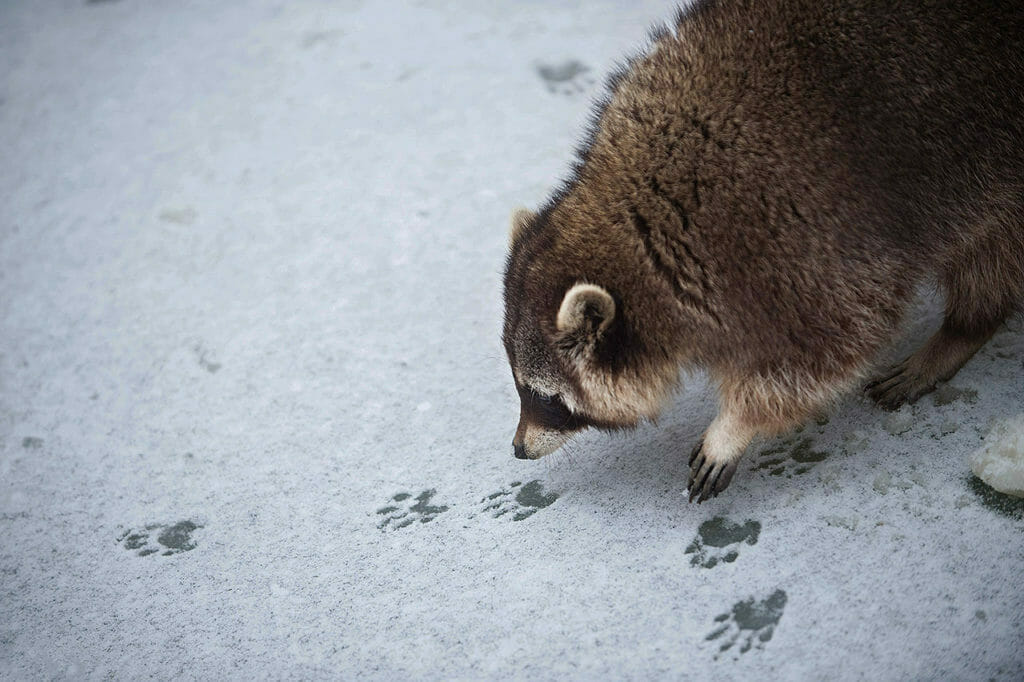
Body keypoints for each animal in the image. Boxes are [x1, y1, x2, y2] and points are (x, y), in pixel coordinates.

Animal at [502, 0, 1024, 502]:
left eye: (545, 397)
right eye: (520, 386)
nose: (518, 449)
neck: (642, 220)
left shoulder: (806, 243)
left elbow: (827, 351)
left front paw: (735, 425)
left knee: (993, 246)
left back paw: (964, 329)